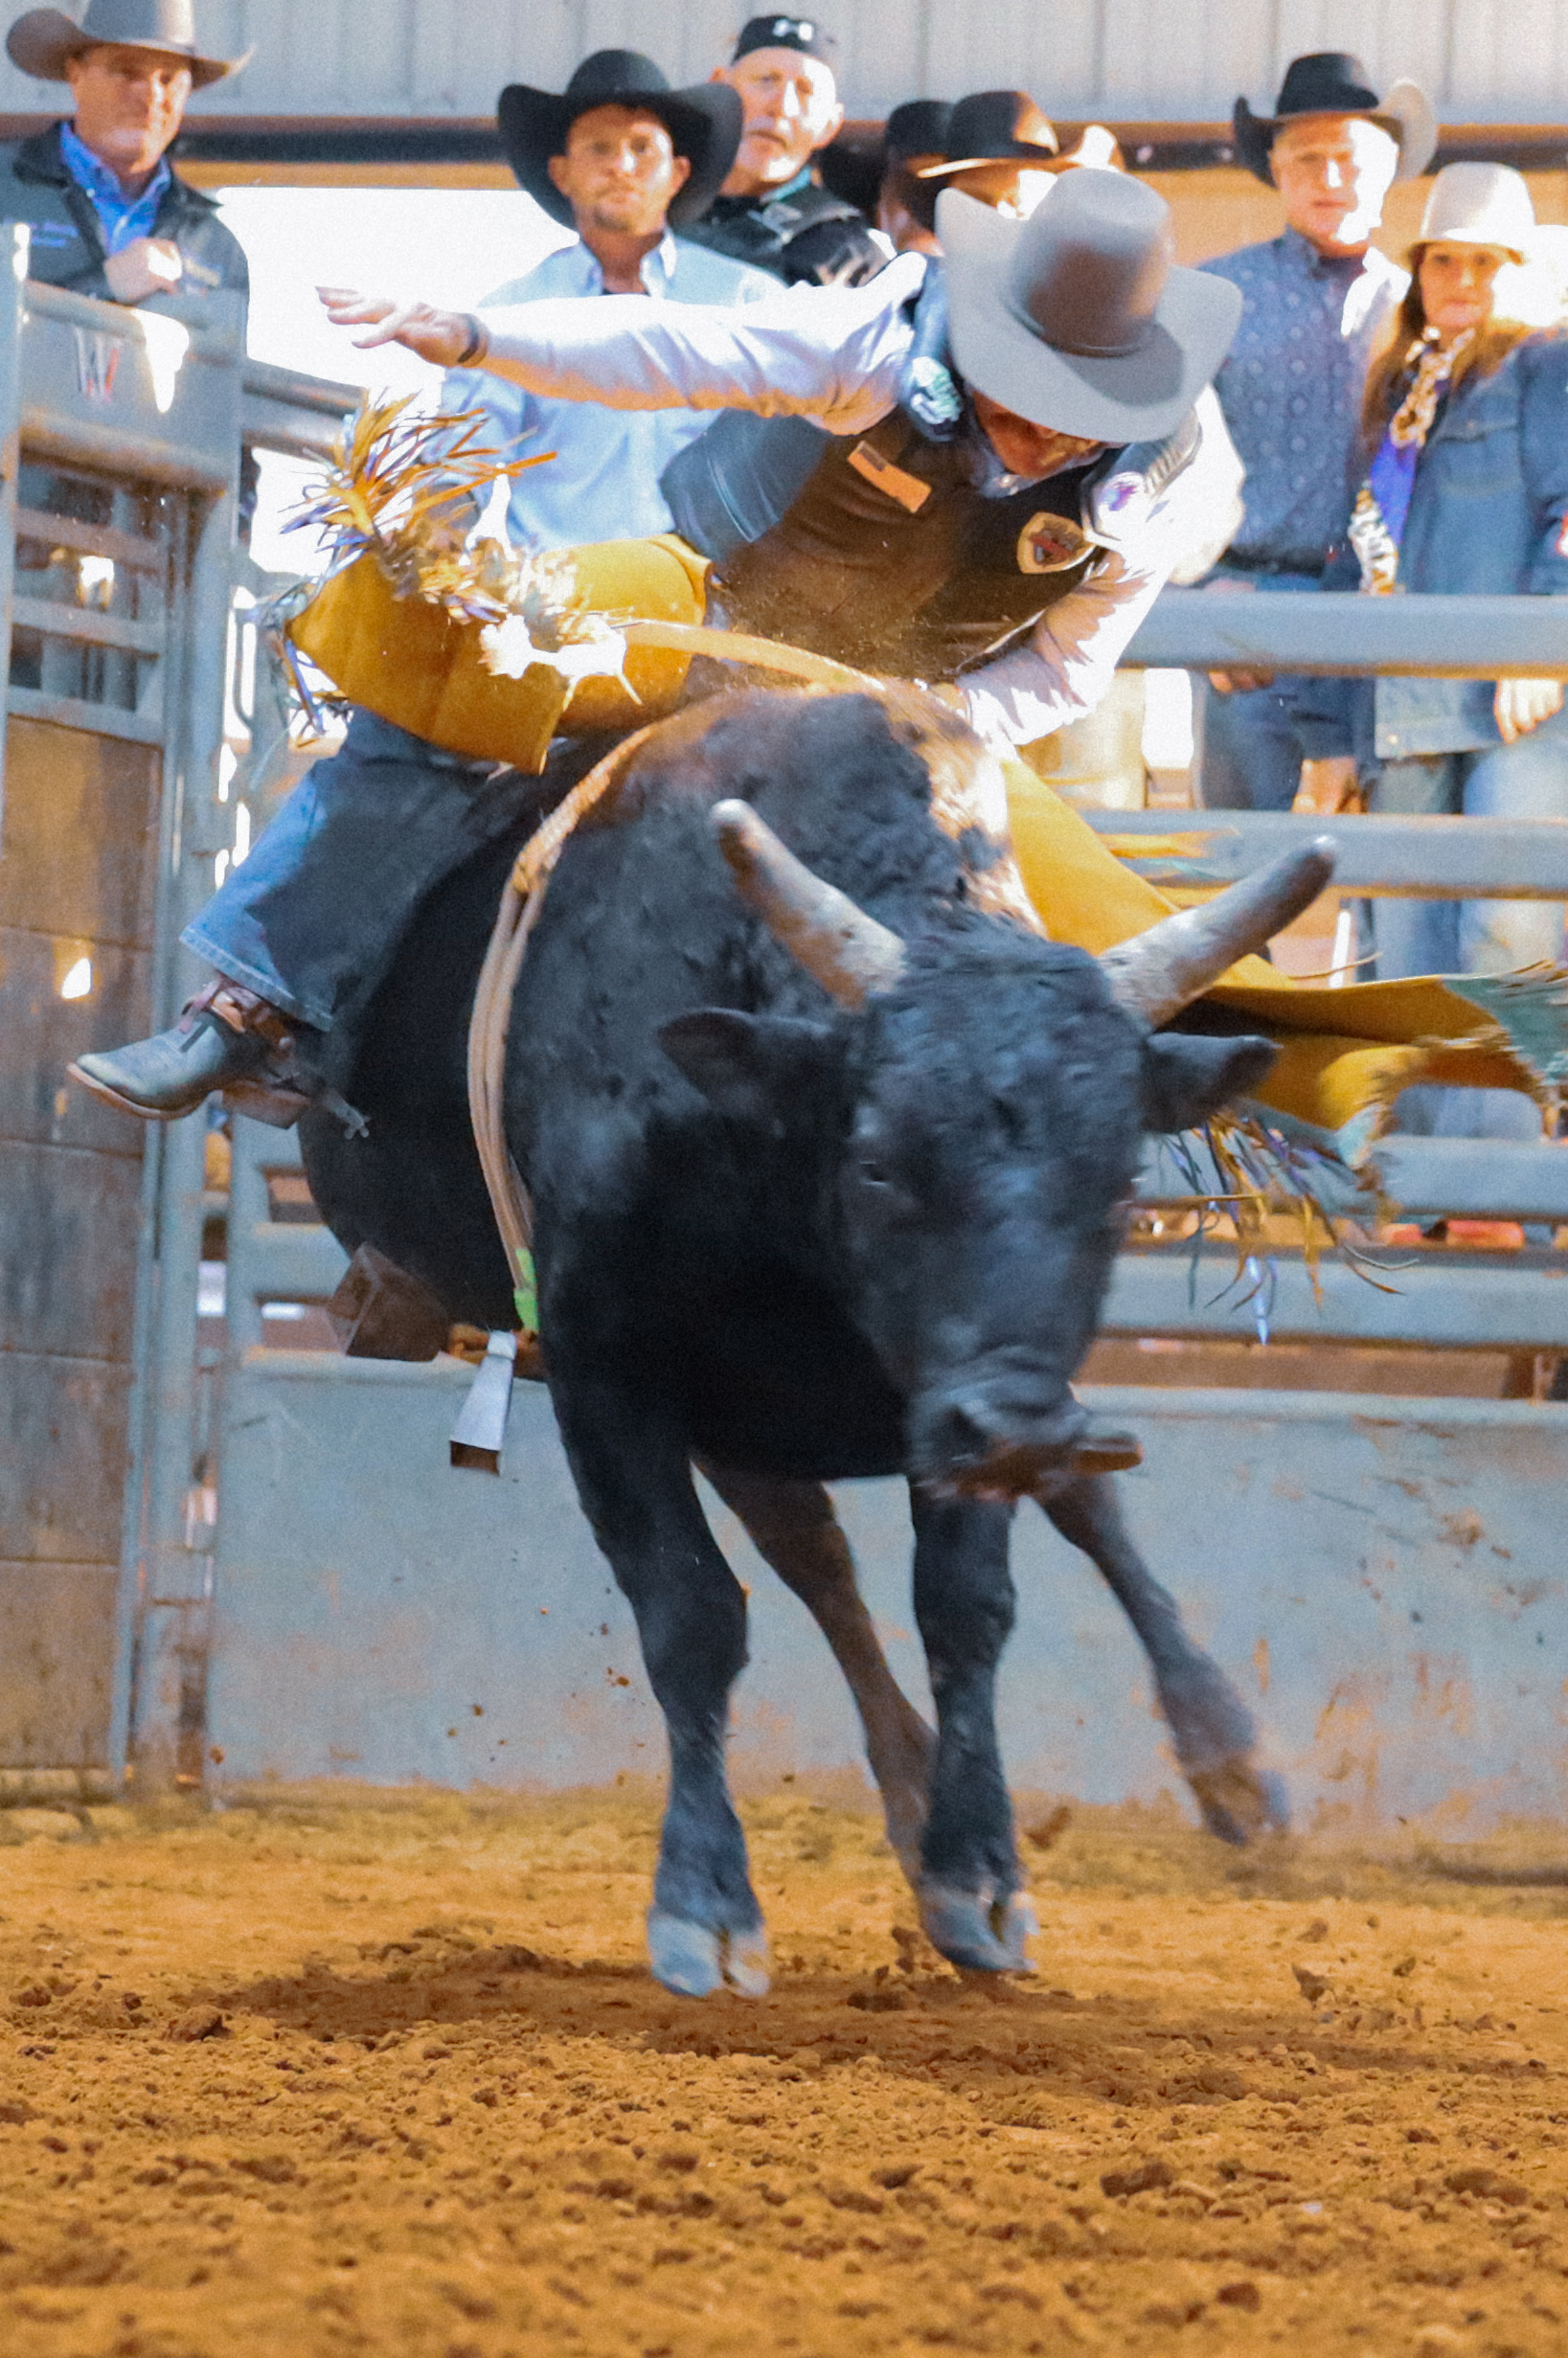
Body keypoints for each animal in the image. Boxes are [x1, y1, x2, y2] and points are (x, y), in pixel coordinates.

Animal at [301, 687, 1330, 1997]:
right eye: (880, 1161)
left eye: (1118, 1182)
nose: (1018, 1420)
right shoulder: (605, 1364)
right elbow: (692, 1610)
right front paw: (705, 1903)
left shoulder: (943, 1400)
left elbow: (964, 1607)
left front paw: (976, 1868)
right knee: (814, 1561)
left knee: (1053, 1517)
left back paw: (1227, 1764)